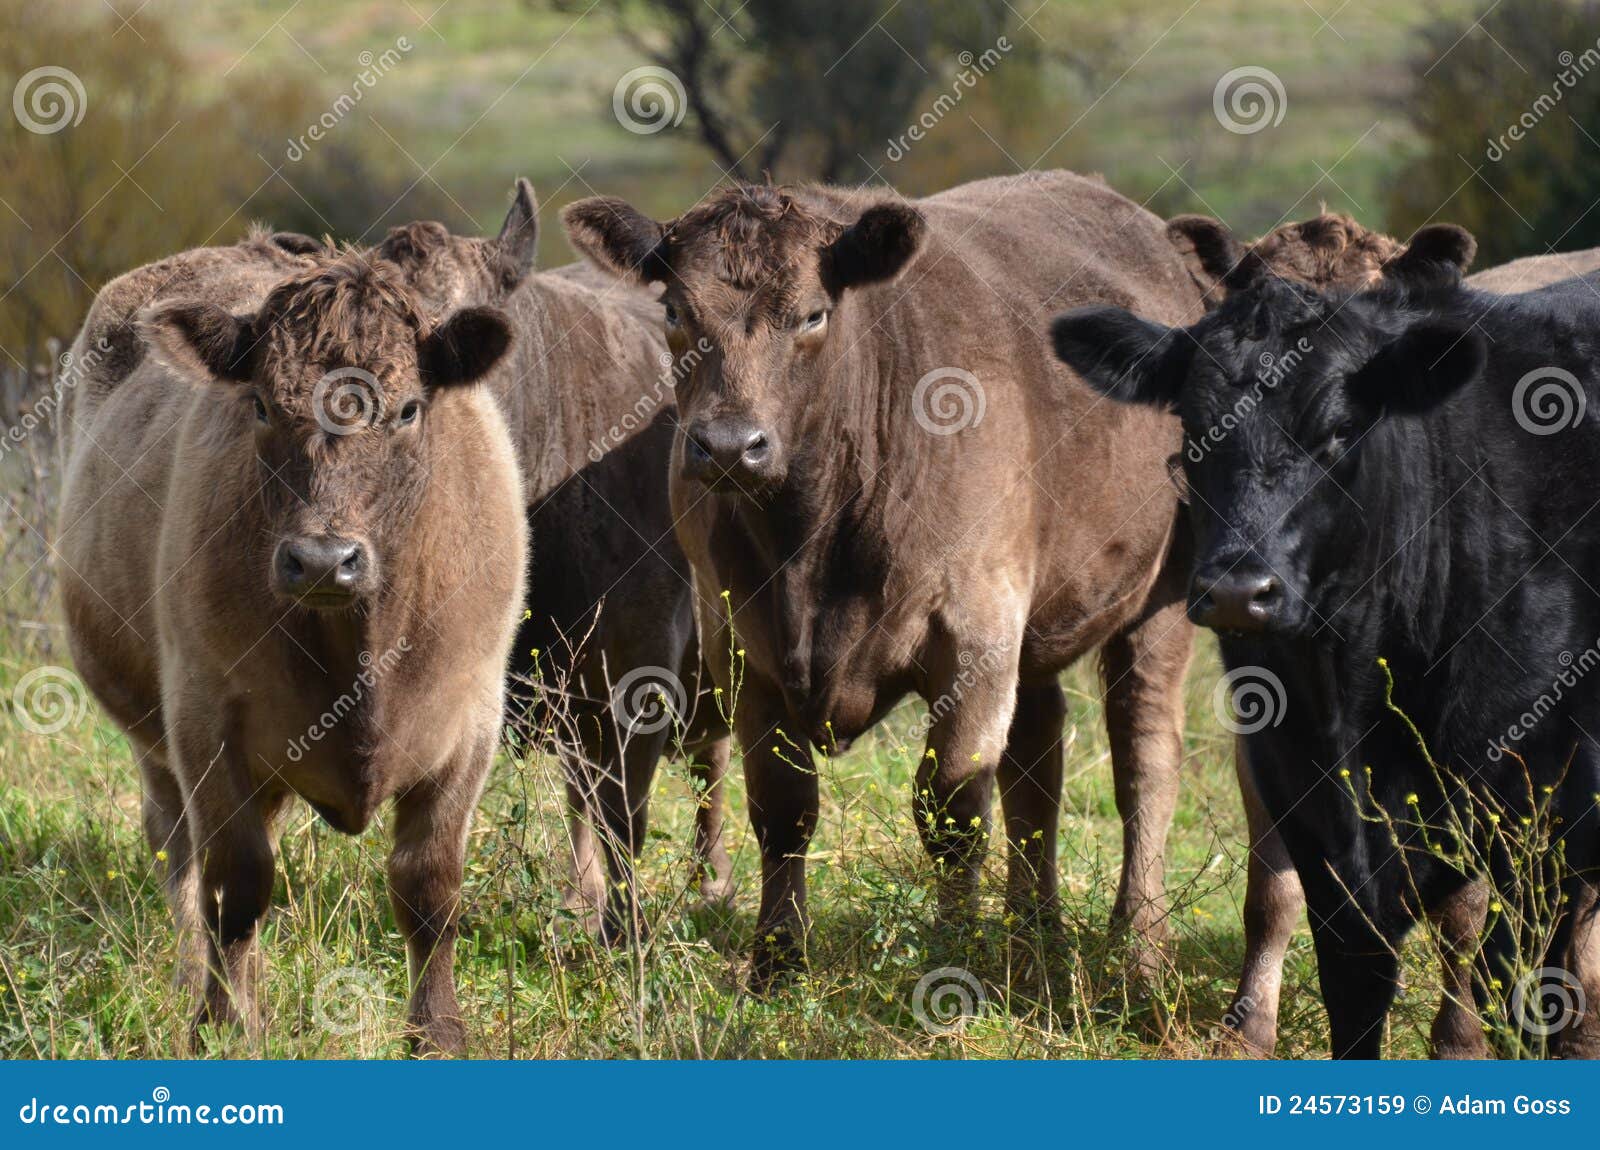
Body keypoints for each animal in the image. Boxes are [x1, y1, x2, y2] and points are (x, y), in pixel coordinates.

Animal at [56, 250, 527, 1055]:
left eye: (408, 410)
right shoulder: (205, 718)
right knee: (178, 853)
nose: (322, 560)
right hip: (155, 739)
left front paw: (437, 1032)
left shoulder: (471, 718)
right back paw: (193, 982)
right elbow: (235, 884)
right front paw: (221, 1027)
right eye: (262, 407)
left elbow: (428, 888)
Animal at [562, 171, 1210, 982]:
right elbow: (783, 807)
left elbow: (954, 810)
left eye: (812, 314)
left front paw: (955, 955)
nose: (730, 445)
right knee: (1038, 760)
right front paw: (776, 962)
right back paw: (1036, 936)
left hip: (1161, 596)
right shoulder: (741, 642)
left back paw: (1140, 946)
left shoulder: (973, 632)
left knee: (1144, 756)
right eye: (676, 312)